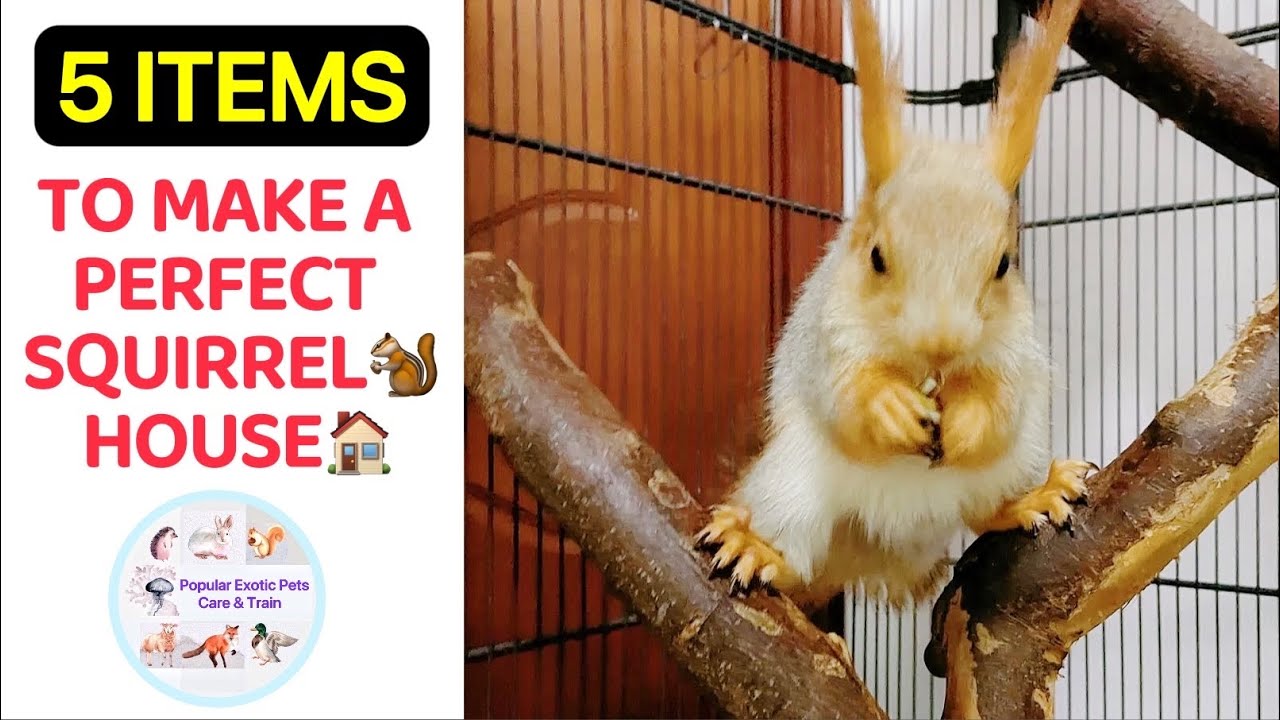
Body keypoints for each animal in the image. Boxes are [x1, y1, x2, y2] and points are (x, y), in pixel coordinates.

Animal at [694, 0, 1097, 660]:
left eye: (1004, 264)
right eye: (877, 257)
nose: (942, 344)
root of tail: (878, 549)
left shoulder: (1017, 352)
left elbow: (1000, 404)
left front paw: (965, 421)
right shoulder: (826, 339)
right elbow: (846, 397)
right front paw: (890, 409)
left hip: (1017, 460)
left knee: (986, 509)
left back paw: (1034, 496)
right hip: (792, 485)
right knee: (796, 558)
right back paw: (756, 548)